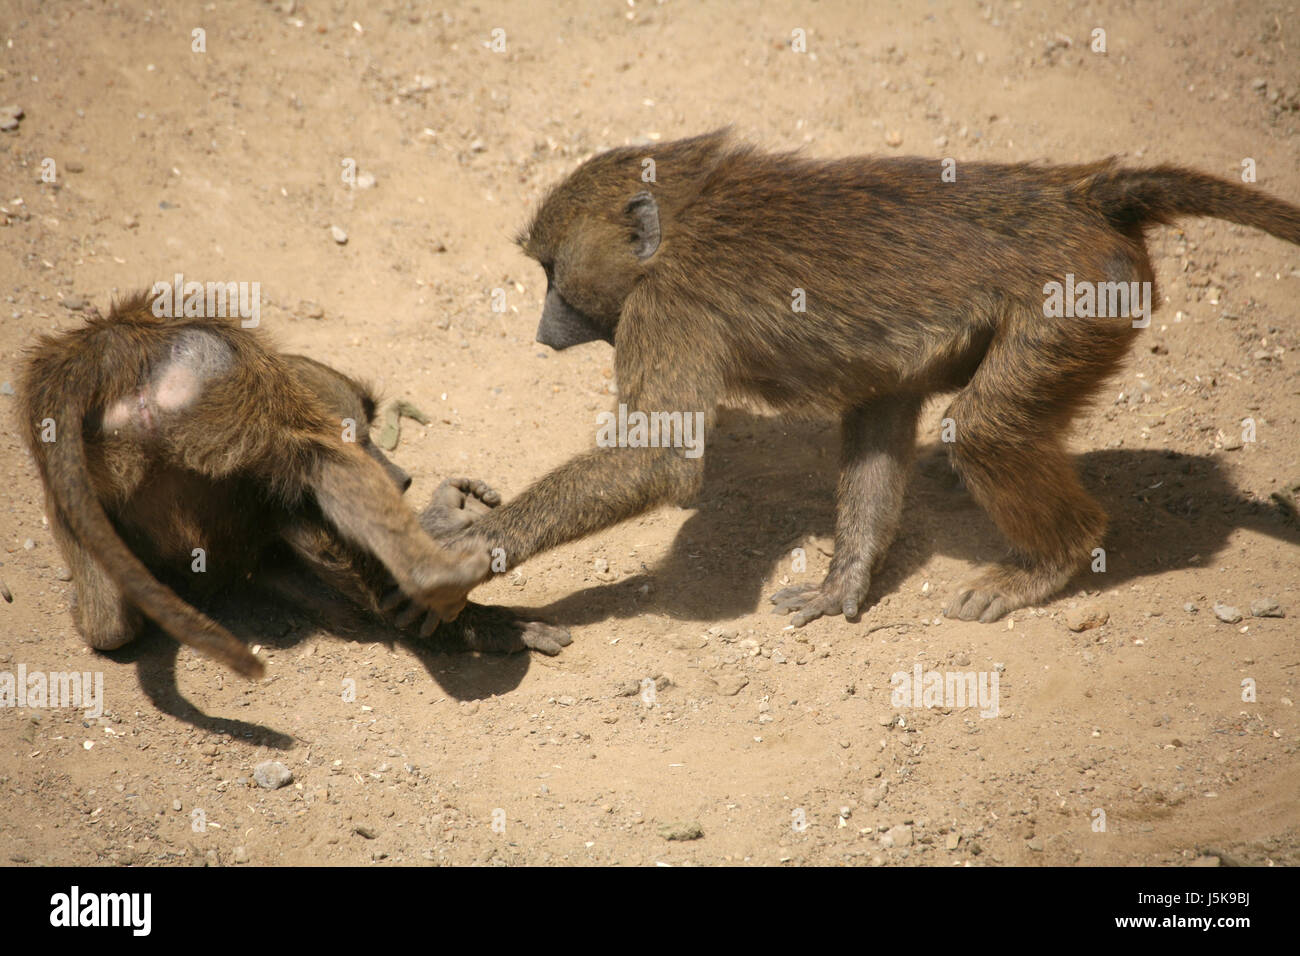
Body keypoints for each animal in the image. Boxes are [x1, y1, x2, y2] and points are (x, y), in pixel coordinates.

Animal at [18, 290, 491, 678]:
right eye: (363, 437)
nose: (401, 478)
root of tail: (114, 344)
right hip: (231, 375)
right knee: (324, 461)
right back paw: (434, 575)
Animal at [433, 129, 1300, 627]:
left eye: (551, 273)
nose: (541, 332)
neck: (683, 222)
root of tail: (1083, 194)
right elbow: (880, 411)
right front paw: (843, 584)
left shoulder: (666, 307)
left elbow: (659, 460)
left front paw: (479, 542)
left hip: (1077, 301)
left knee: (983, 432)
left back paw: (1051, 564)